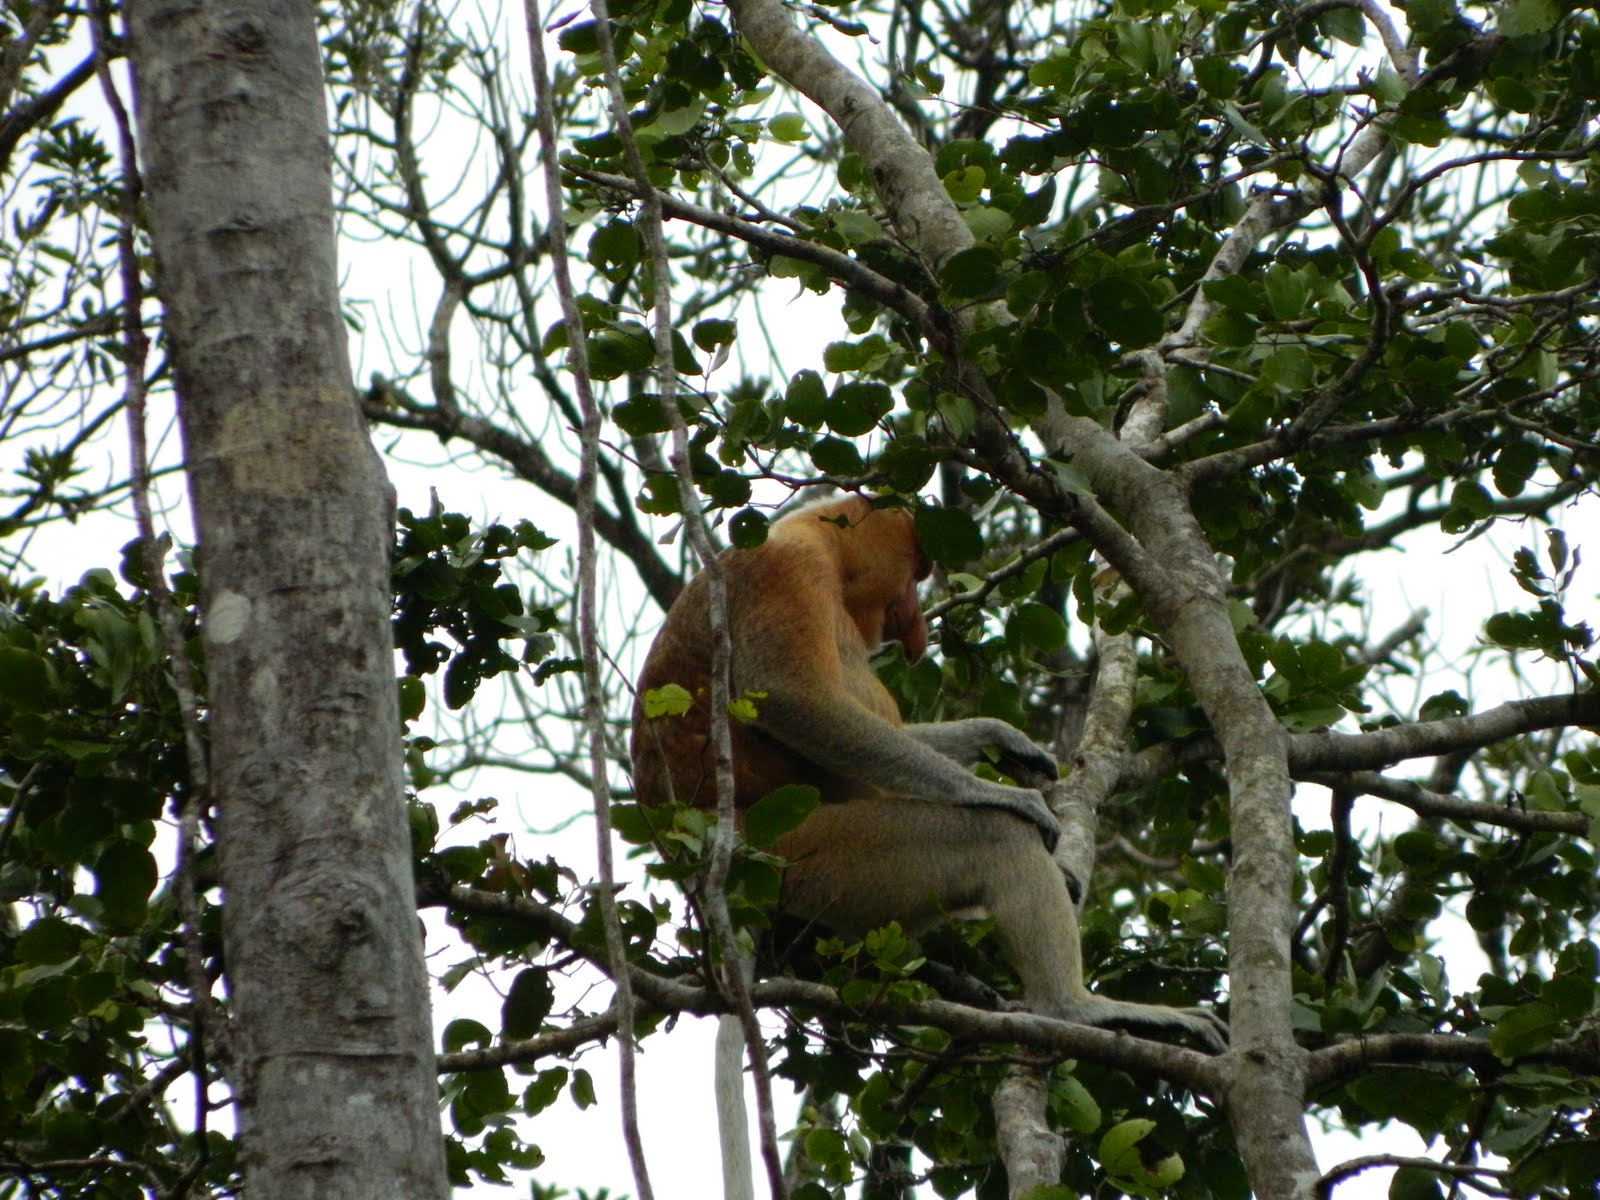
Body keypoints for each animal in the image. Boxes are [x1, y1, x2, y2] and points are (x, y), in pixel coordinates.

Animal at [631, 493, 1226, 1052]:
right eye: (917, 570)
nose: (913, 624)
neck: (822, 548)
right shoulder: (785, 570)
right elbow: (790, 697)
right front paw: (1003, 795)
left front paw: (1002, 740)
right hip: (803, 856)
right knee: (993, 840)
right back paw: (1077, 1008)